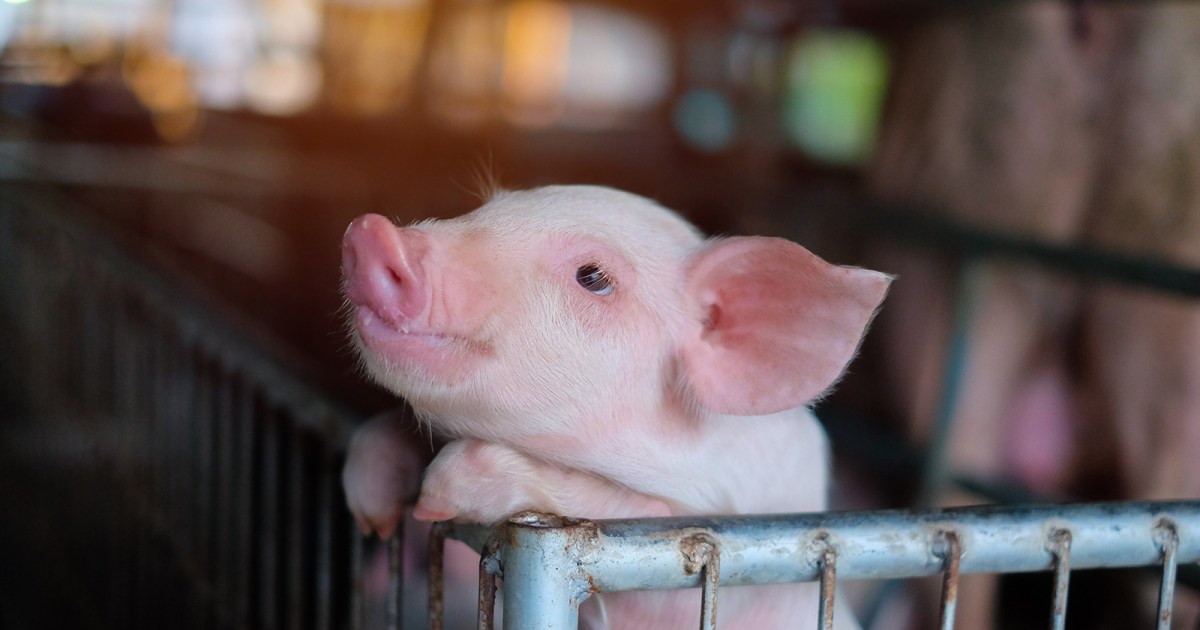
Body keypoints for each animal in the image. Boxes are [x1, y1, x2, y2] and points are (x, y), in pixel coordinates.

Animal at [340, 185, 890, 628]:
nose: (372, 231)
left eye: (592, 276)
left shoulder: (731, 562)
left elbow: (637, 518)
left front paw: (440, 492)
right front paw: (371, 507)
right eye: (485, 209)